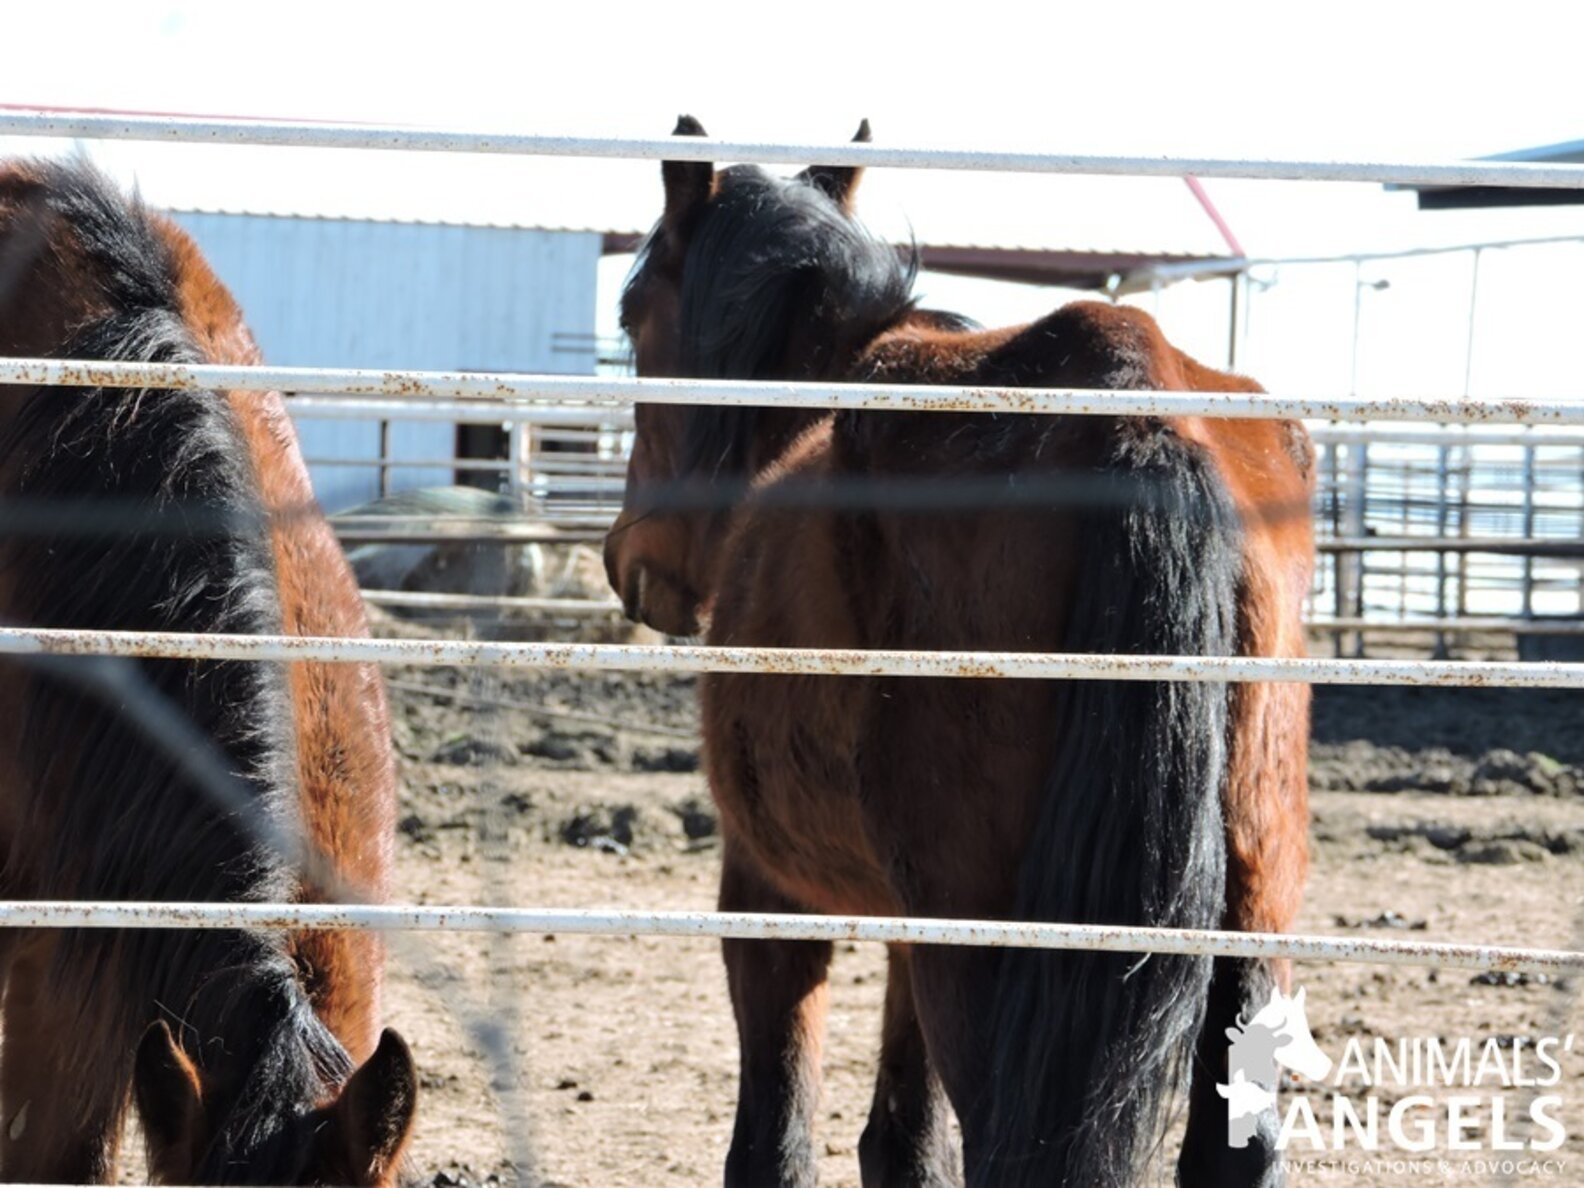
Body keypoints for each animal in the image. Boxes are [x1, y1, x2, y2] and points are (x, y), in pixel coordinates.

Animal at [604, 118, 1315, 1187]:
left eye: (632, 313)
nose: (629, 559)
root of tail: (1138, 419)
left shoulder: (768, 895)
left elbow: (776, 1143)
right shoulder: (911, 927)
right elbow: (903, 1143)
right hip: (1246, 925)